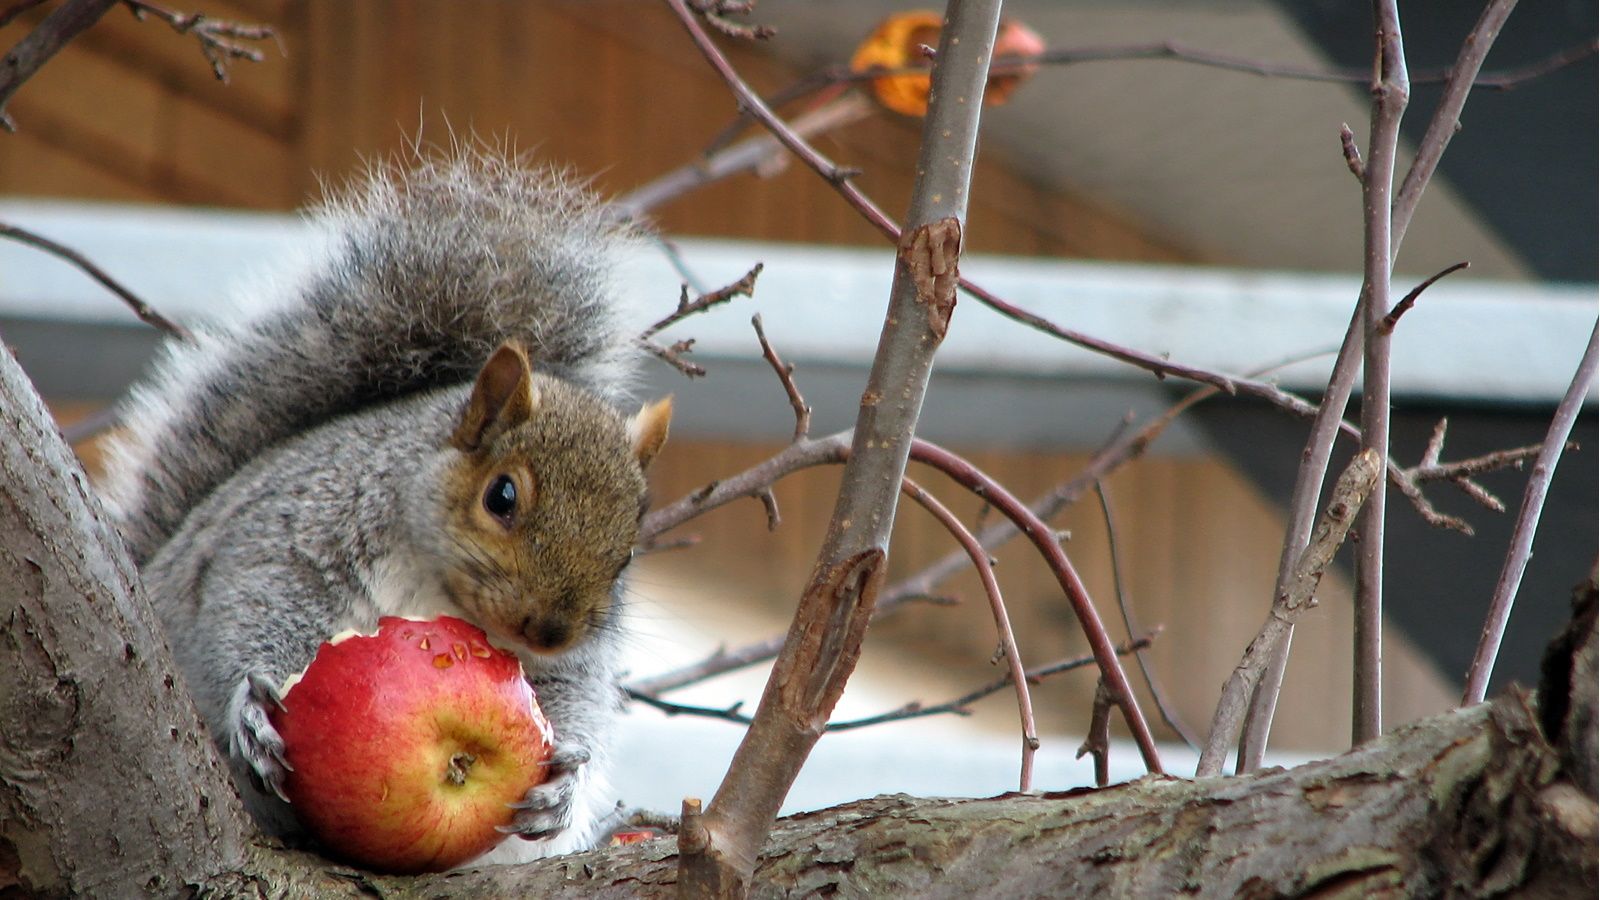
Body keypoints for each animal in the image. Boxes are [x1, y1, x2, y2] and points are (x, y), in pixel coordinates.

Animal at [99, 149, 672, 865]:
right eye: (502, 496)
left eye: (627, 554)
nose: (549, 631)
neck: (440, 590)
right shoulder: (297, 529)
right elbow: (251, 603)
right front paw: (252, 706)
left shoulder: (570, 664)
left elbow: (575, 695)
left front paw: (565, 780)